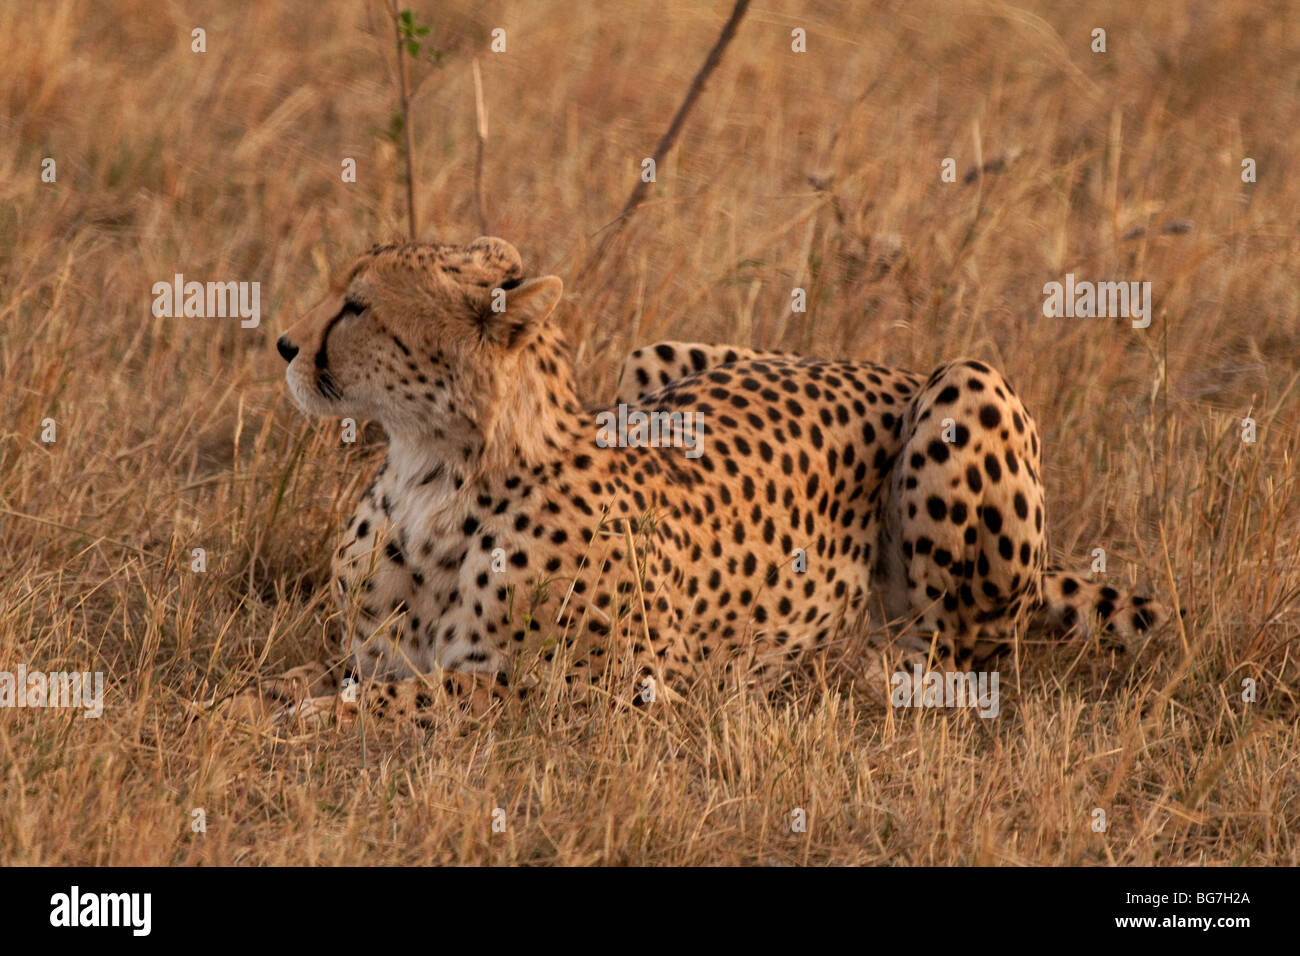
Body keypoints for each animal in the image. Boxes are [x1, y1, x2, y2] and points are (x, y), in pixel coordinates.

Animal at [256, 236, 1167, 722]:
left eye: (358, 305)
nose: (285, 344)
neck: (430, 480)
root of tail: (886, 368)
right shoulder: (367, 654)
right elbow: (316, 680)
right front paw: (251, 706)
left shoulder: (624, 689)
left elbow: (429, 697)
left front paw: (307, 720)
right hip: (653, 357)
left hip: (965, 386)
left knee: (966, 653)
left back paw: (853, 672)